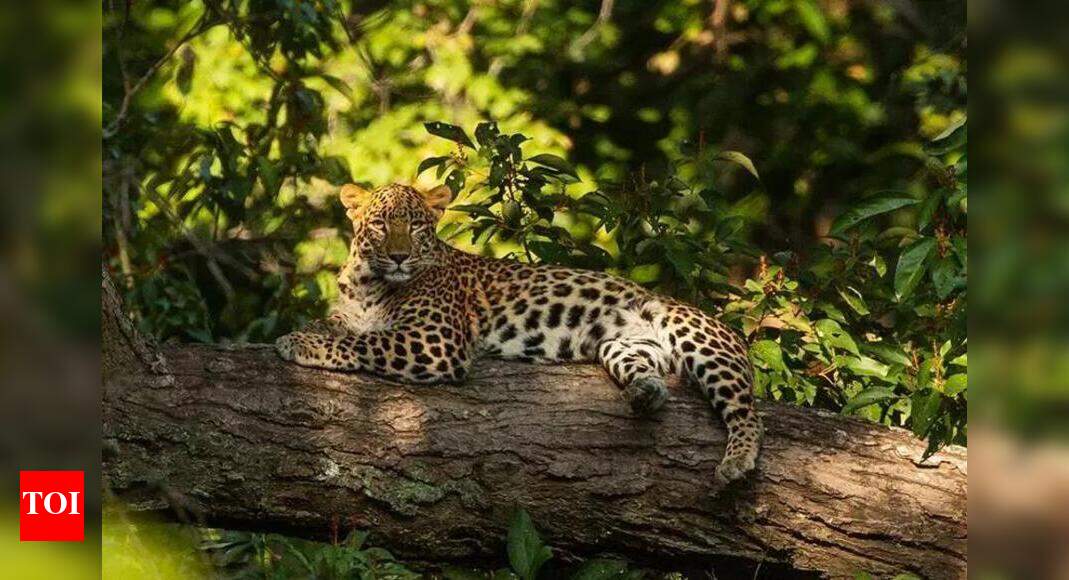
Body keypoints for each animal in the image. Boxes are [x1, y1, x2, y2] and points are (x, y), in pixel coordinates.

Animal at [275, 182, 762, 483]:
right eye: (379, 224)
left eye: (415, 225)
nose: (398, 256)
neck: (368, 283)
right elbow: (343, 327)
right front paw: (305, 330)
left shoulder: (435, 341)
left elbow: (363, 341)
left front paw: (298, 342)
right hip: (622, 344)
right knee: (645, 370)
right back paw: (645, 392)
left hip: (696, 336)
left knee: (748, 411)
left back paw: (737, 460)